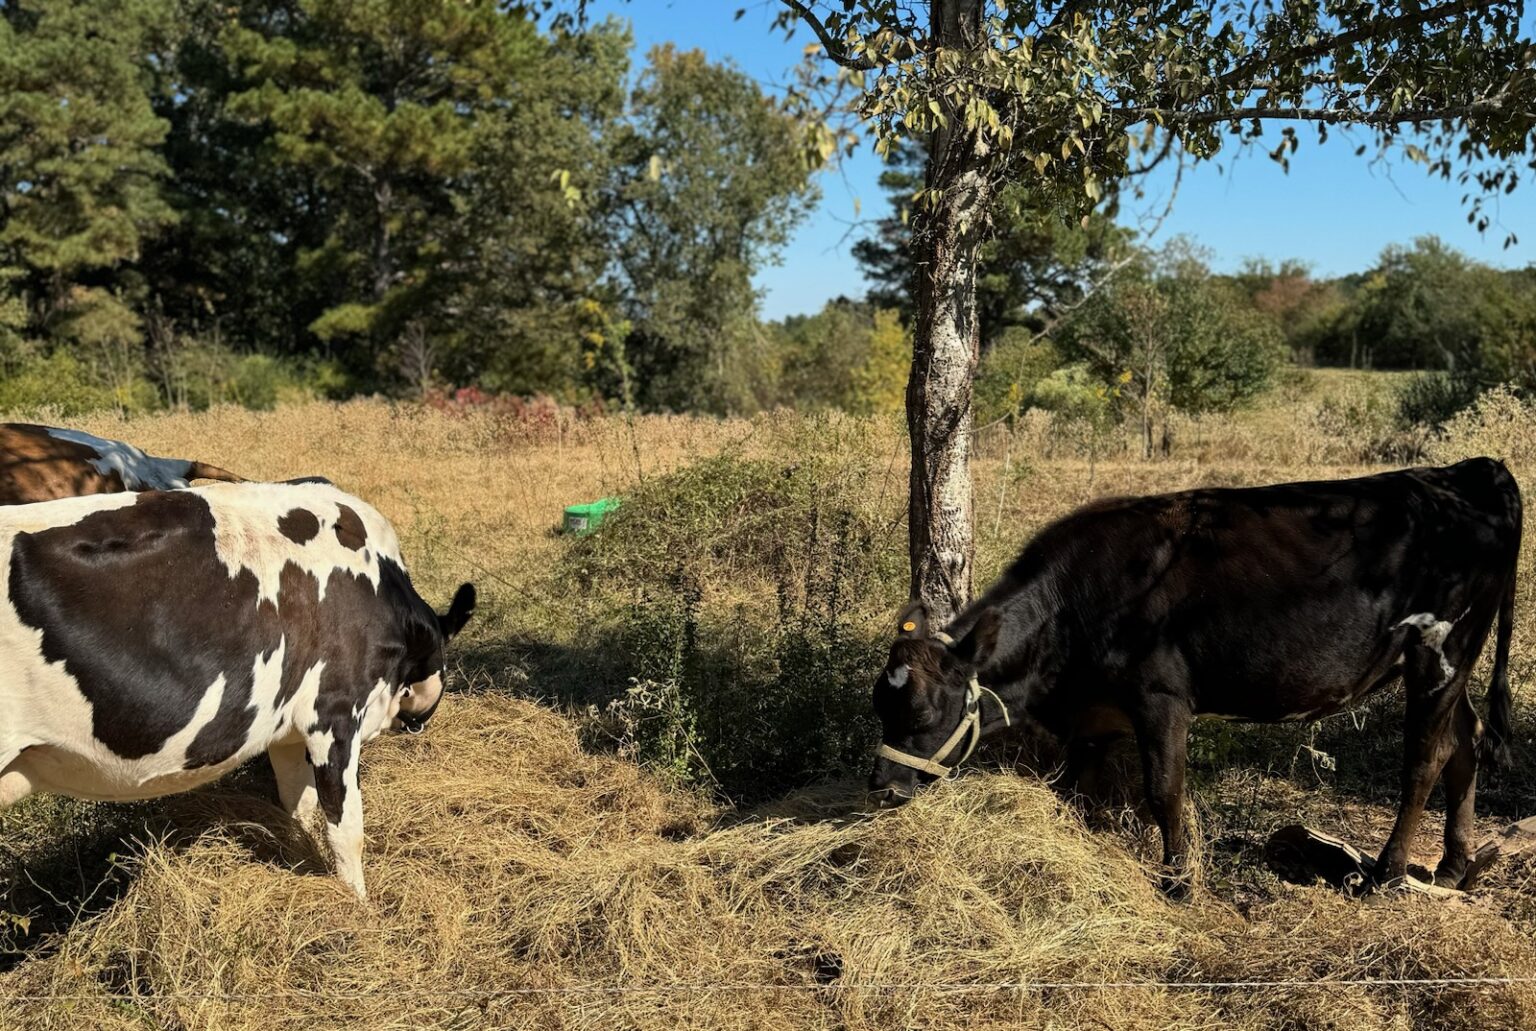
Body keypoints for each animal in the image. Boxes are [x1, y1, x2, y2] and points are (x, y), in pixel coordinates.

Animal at [0, 481, 476, 899]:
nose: (417, 718)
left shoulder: (287, 729)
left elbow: (298, 807)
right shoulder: (334, 712)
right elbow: (346, 830)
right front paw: (359, 907)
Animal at [869, 458, 1521, 895]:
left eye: (922, 711)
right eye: (879, 705)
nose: (882, 787)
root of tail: (1467, 471)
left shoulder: (1160, 698)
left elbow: (1164, 791)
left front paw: (1178, 881)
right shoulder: (1093, 716)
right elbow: (1071, 788)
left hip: (1438, 650)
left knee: (1426, 756)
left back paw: (1386, 874)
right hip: (1455, 659)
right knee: (1466, 738)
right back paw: (1454, 867)